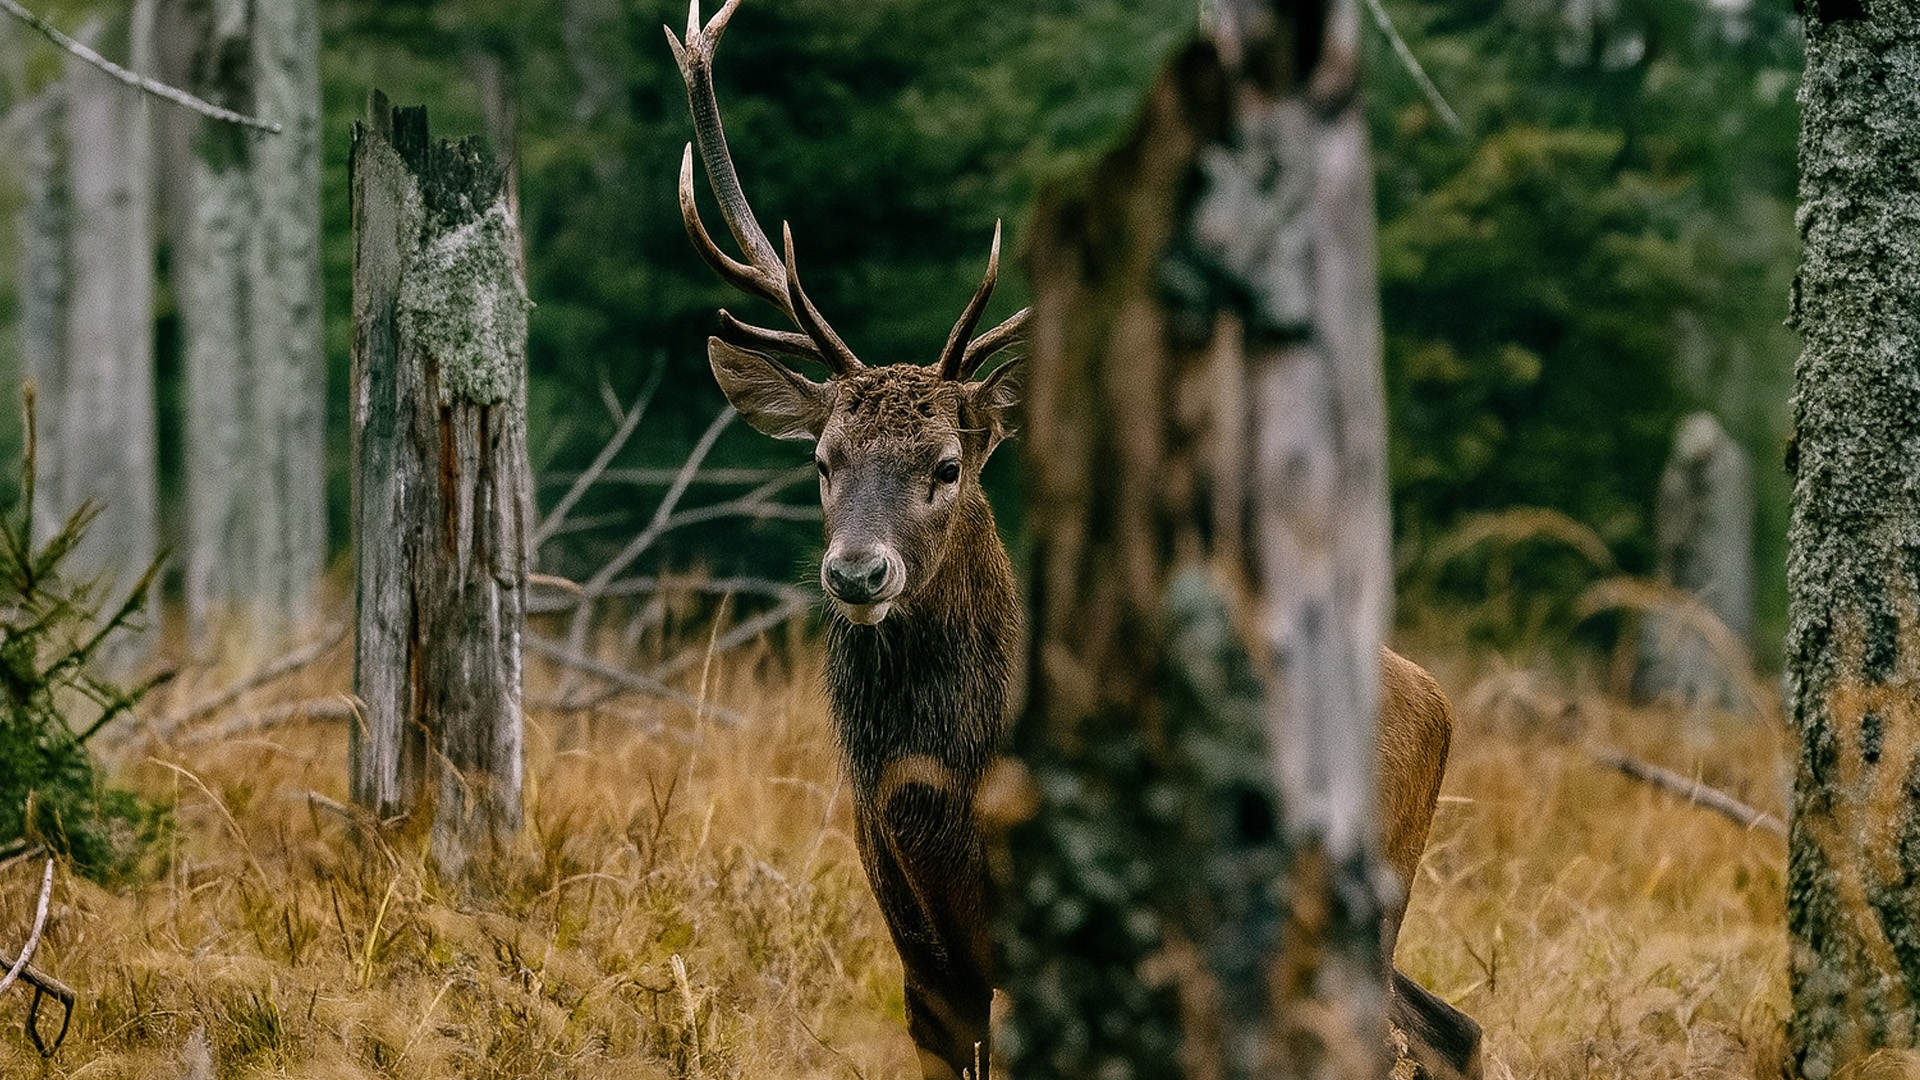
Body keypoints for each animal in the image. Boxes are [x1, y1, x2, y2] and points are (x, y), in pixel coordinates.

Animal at [667, 3, 1480, 1078]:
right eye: (823, 461)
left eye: (948, 466)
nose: (857, 571)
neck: (947, 807)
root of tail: (1437, 698)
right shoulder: (923, 956)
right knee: (1451, 1026)